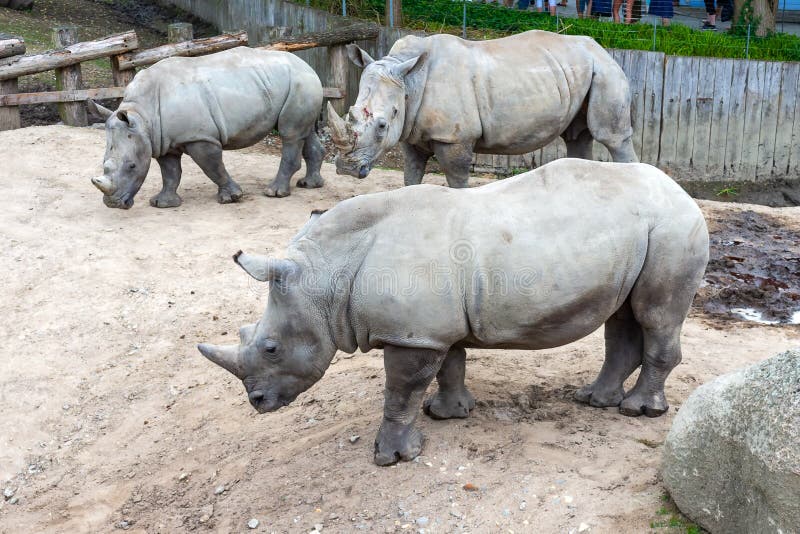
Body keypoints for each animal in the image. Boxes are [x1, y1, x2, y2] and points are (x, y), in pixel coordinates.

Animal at [88, 47, 324, 209]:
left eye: (132, 166)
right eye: (103, 164)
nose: (113, 204)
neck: (142, 116)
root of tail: (309, 67)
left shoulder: (199, 137)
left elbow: (212, 167)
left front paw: (232, 198)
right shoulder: (162, 140)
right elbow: (170, 172)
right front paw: (163, 204)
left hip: (300, 83)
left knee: (290, 134)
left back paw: (274, 193)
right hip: (294, 85)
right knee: (304, 132)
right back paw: (309, 184)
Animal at [198, 159, 708, 466]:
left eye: (271, 347)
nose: (257, 402)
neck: (326, 274)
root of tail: (681, 191)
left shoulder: (412, 334)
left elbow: (400, 392)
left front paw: (393, 458)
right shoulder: (431, 328)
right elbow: (451, 366)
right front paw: (449, 414)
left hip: (673, 228)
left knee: (656, 316)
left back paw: (639, 412)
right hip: (644, 233)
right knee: (622, 319)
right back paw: (594, 401)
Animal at [327, 31, 638, 186]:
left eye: (382, 125)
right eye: (350, 113)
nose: (346, 169)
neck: (408, 81)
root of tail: (601, 47)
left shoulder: (454, 138)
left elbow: (456, 180)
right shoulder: (410, 131)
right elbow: (411, 175)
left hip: (606, 70)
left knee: (611, 137)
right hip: (581, 69)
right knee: (577, 137)